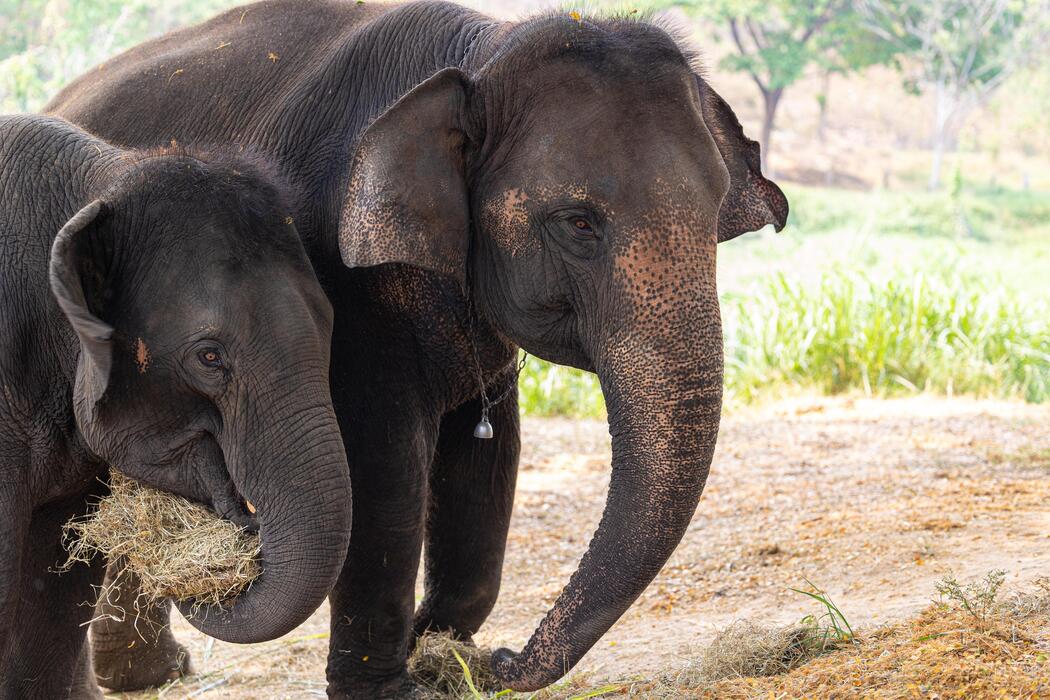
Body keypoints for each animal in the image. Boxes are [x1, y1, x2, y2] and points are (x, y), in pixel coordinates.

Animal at [48, 0, 787, 695]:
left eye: (715, 212)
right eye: (579, 223)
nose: (502, 659)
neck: (483, 53)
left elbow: (489, 455)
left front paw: (442, 661)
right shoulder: (346, 280)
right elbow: (379, 469)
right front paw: (393, 687)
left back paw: (149, 671)